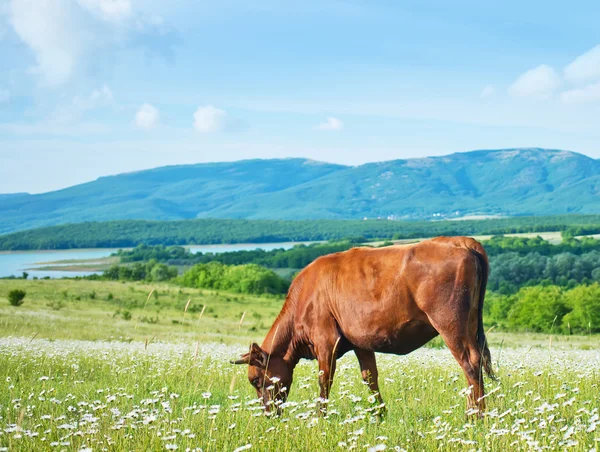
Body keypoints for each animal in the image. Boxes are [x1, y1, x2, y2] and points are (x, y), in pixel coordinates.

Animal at [232, 237, 494, 416]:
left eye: (255, 380)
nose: (268, 414)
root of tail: (461, 241)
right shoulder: (361, 342)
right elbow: (370, 378)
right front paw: (381, 415)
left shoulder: (325, 341)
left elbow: (324, 380)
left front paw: (320, 417)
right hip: (470, 324)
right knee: (478, 361)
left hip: (450, 324)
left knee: (470, 363)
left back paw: (475, 416)